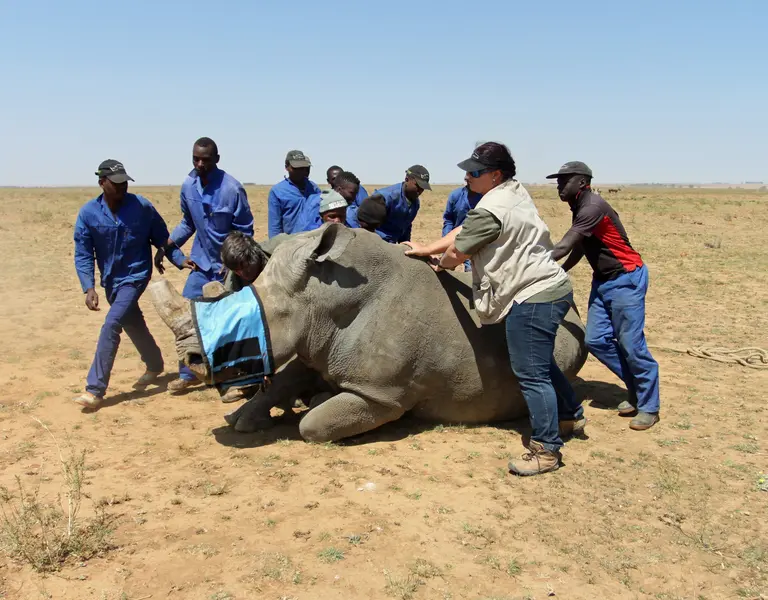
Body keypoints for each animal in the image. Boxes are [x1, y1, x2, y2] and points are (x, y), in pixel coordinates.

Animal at [149, 224, 588, 443]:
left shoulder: (381, 394)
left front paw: (310, 409)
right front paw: (243, 419)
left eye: (242, 326)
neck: (319, 296)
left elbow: (313, 427)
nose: (189, 360)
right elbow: (283, 380)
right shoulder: (314, 342)